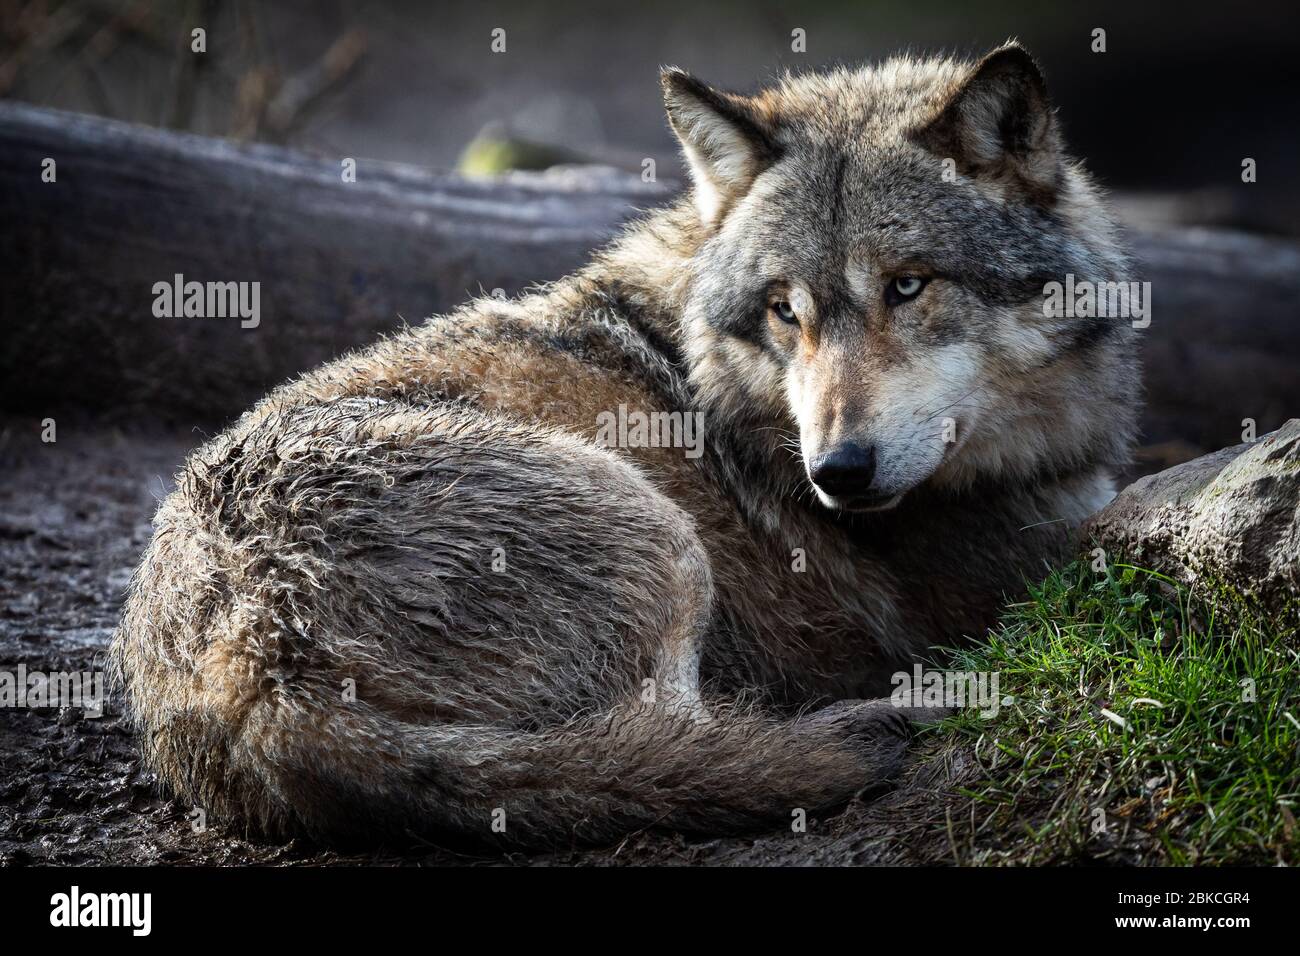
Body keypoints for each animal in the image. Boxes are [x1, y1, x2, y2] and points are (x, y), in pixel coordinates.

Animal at [112, 43, 1138, 847]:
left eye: (910, 284)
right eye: (785, 309)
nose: (837, 475)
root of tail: (253, 663)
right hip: (660, 538)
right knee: (679, 735)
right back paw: (890, 712)